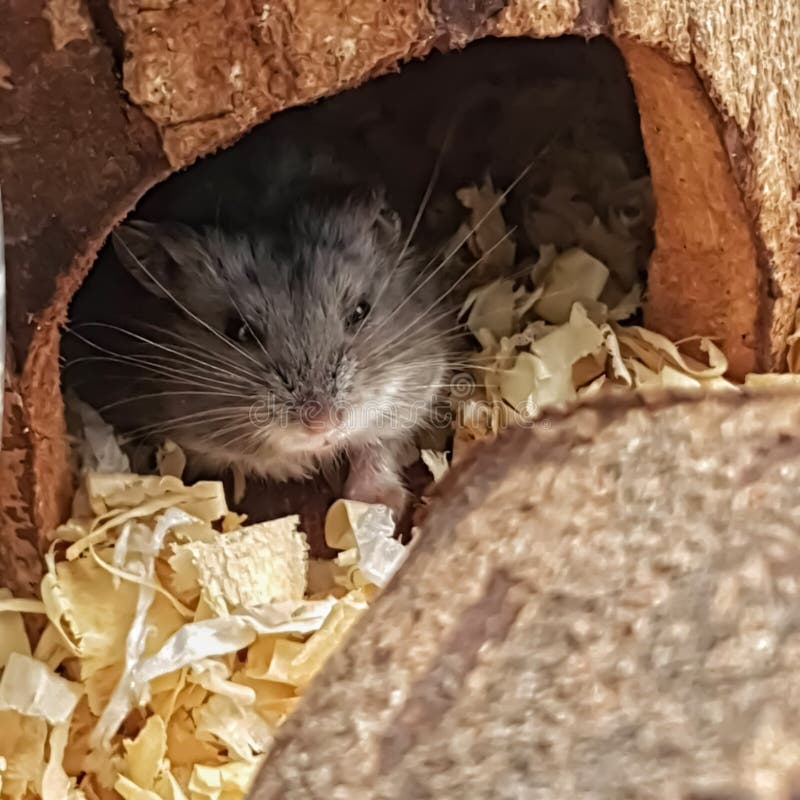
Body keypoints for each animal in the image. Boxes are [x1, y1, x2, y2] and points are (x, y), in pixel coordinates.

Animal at [63, 156, 459, 520]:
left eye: (360, 311)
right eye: (238, 331)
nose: (323, 427)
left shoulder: (417, 383)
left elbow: (378, 443)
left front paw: (379, 505)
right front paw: (298, 466)